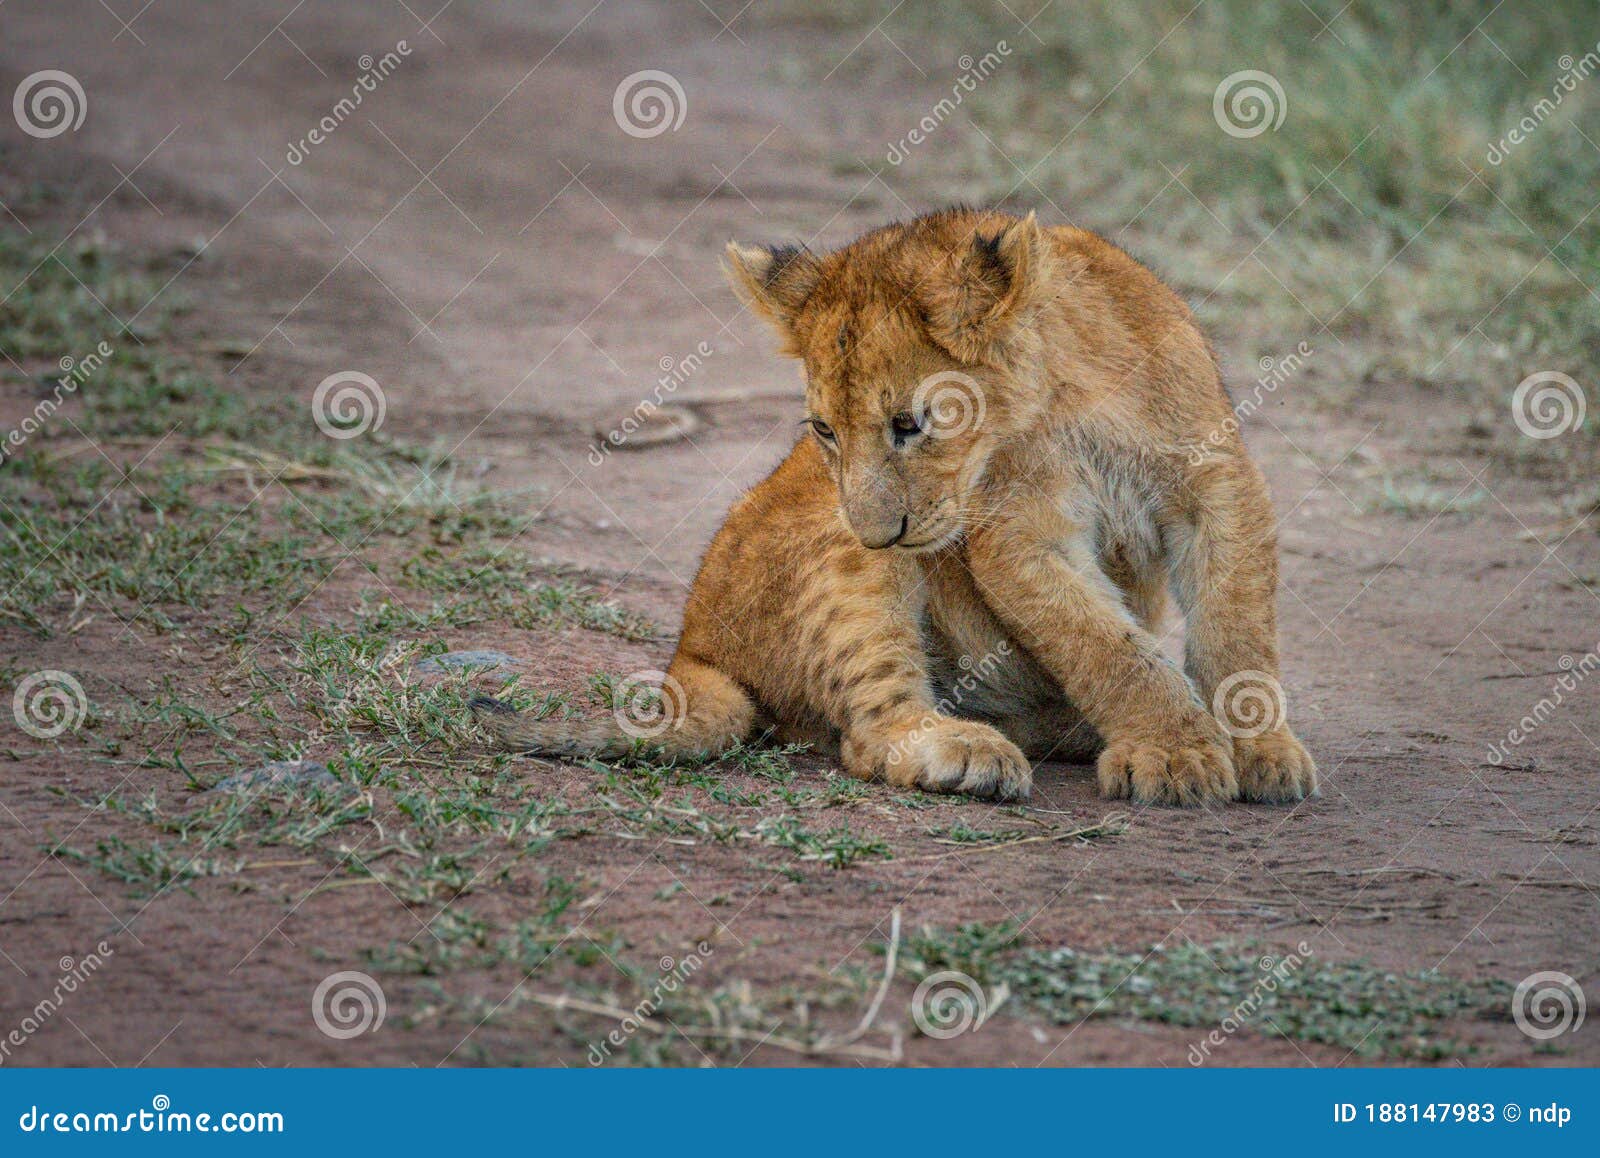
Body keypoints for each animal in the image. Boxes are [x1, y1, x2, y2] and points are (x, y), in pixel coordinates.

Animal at [474, 208, 1317, 805]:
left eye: (911, 424)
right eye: (823, 429)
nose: (883, 533)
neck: (1066, 397)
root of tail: (693, 646)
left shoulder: (1219, 485)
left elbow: (1234, 630)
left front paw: (1257, 747)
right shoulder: (1013, 532)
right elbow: (1105, 647)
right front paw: (1176, 752)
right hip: (841, 551)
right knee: (867, 734)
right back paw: (969, 750)